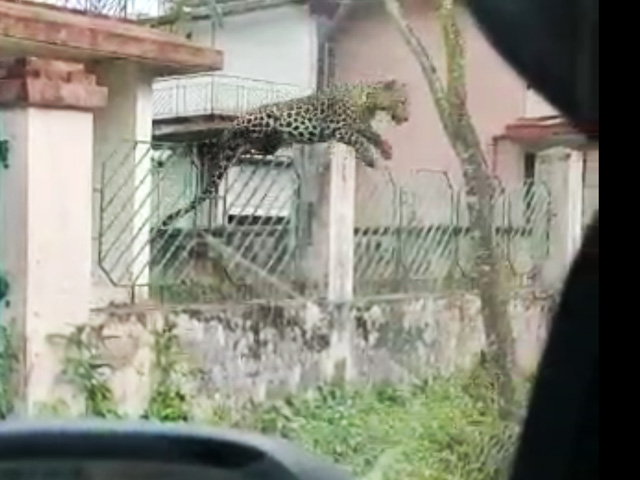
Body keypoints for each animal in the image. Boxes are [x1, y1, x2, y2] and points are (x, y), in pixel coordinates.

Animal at [158, 78, 410, 229]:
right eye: (402, 101)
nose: (406, 118)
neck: (368, 101)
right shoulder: (339, 127)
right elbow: (360, 138)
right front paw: (370, 156)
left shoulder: (359, 125)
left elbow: (371, 133)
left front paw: (386, 149)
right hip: (264, 119)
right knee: (233, 128)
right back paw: (219, 138)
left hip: (272, 142)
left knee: (251, 146)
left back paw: (238, 149)